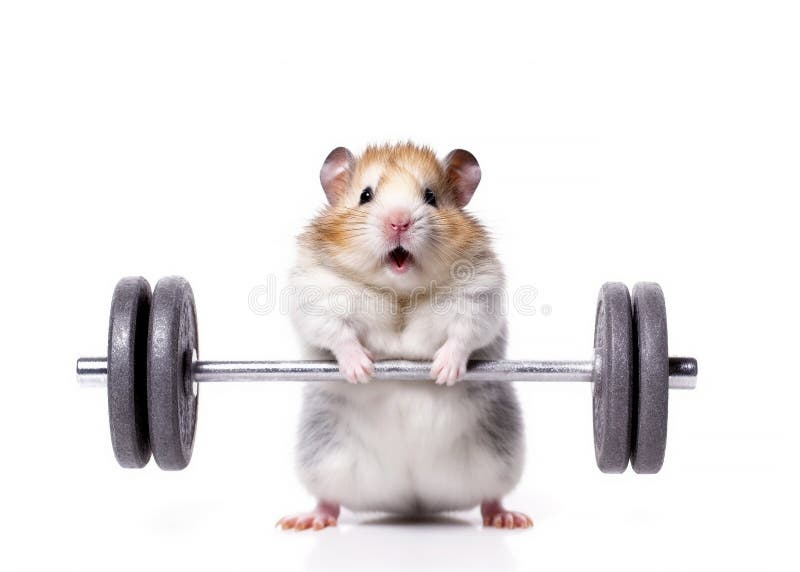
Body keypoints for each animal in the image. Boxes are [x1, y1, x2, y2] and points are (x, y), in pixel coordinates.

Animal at [277, 143, 531, 531]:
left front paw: (443, 372)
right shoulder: (317, 297)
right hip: (323, 457)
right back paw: (305, 521)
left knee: (491, 496)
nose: (399, 221)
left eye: (431, 197)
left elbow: (463, 333)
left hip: (499, 455)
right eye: (366, 196)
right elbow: (338, 333)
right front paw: (361, 371)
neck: (400, 292)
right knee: (328, 499)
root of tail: (413, 504)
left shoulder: (479, 296)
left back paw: (507, 519)